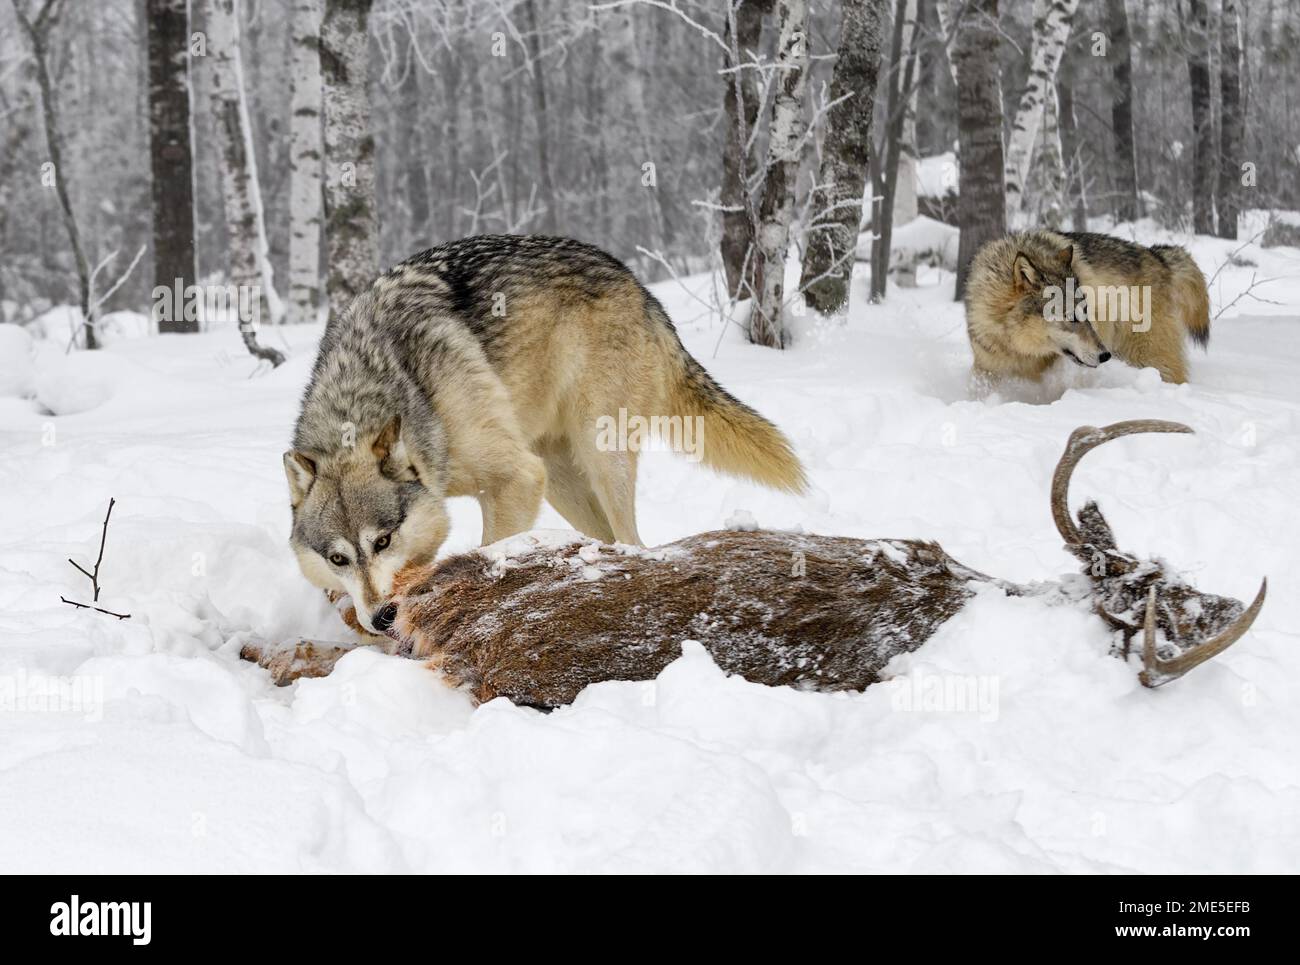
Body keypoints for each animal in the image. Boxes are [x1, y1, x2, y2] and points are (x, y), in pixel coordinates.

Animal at [285, 235, 806, 634]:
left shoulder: (515, 480)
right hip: (560, 480)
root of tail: (639, 286)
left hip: (598, 454)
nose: (383, 617)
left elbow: (487, 548)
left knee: (635, 540)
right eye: (338, 559)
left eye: (382, 542)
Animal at [964, 230, 1211, 384]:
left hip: (1147, 356)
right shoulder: (988, 372)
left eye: (1087, 314)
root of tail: (1157, 255)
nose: (1105, 356)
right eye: (1071, 317)